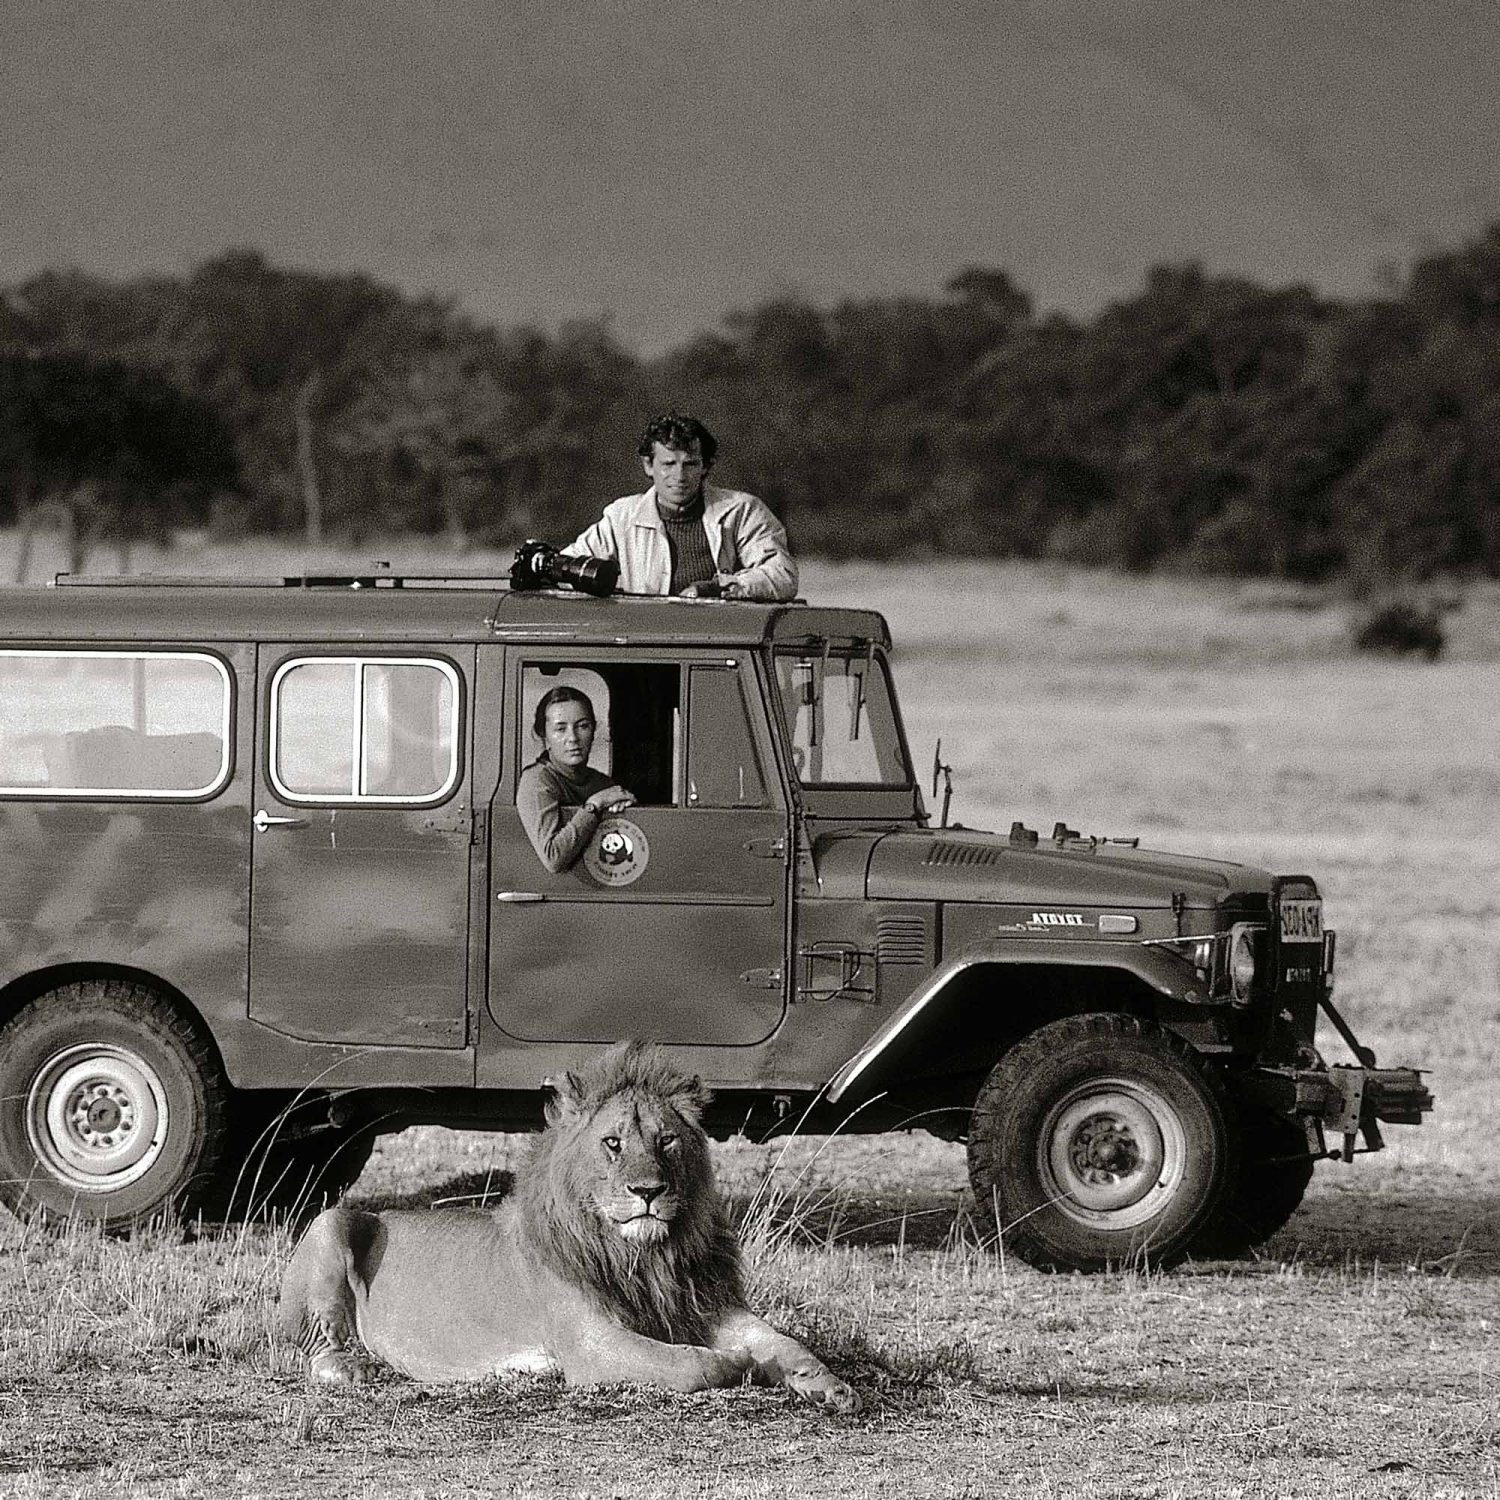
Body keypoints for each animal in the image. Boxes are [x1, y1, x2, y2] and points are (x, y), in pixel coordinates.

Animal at [277, 1042, 860, 1413]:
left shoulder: (703, 1303)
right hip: (332, 1222)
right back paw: (357, 1367)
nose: (648, 1191)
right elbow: (696, 1365)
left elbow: (781, 1339)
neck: (644, 1258)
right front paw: (742, 1364)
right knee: (312, 1347)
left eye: (667, 1140)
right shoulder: (589, 1342)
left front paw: (828, 1385)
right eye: (613, 1143)